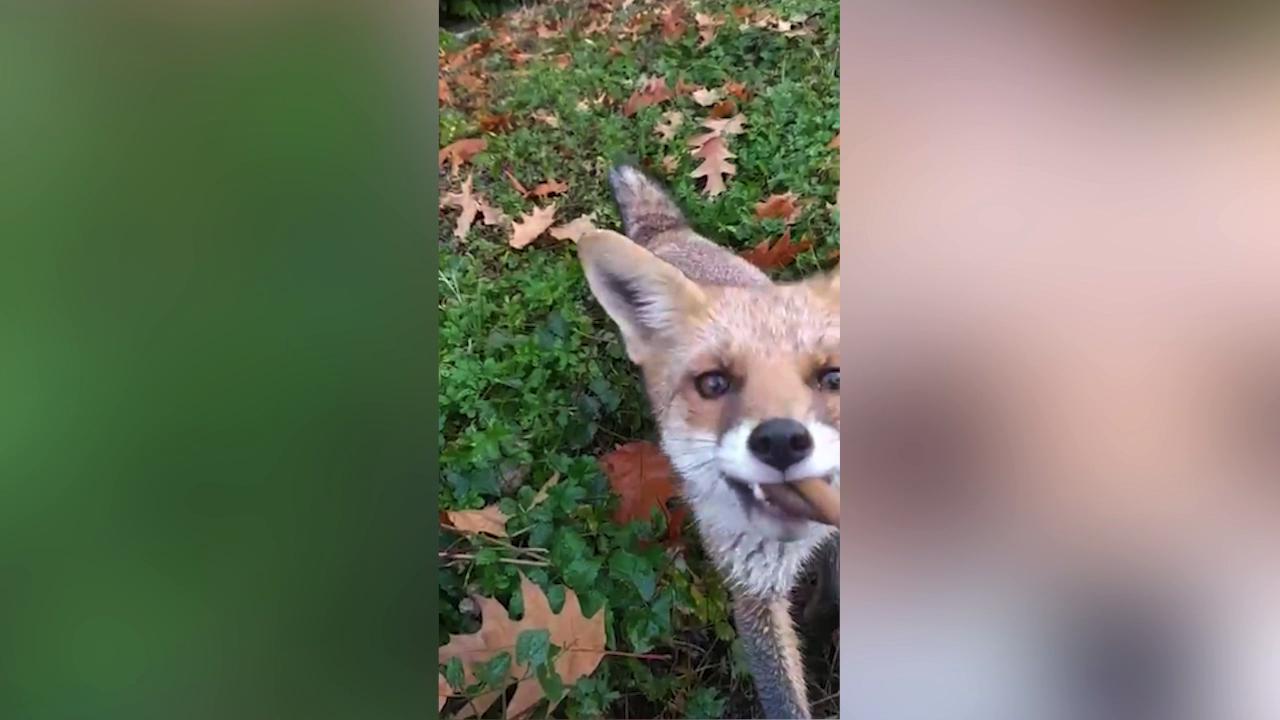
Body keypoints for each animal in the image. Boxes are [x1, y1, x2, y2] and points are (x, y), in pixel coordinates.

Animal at [576, 165, 840, 719]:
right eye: (714, 384)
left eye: (833, 378)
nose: (781, 441)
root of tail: (670, 237)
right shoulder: (754, 593)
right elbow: (786, 702)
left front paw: (823, 623)